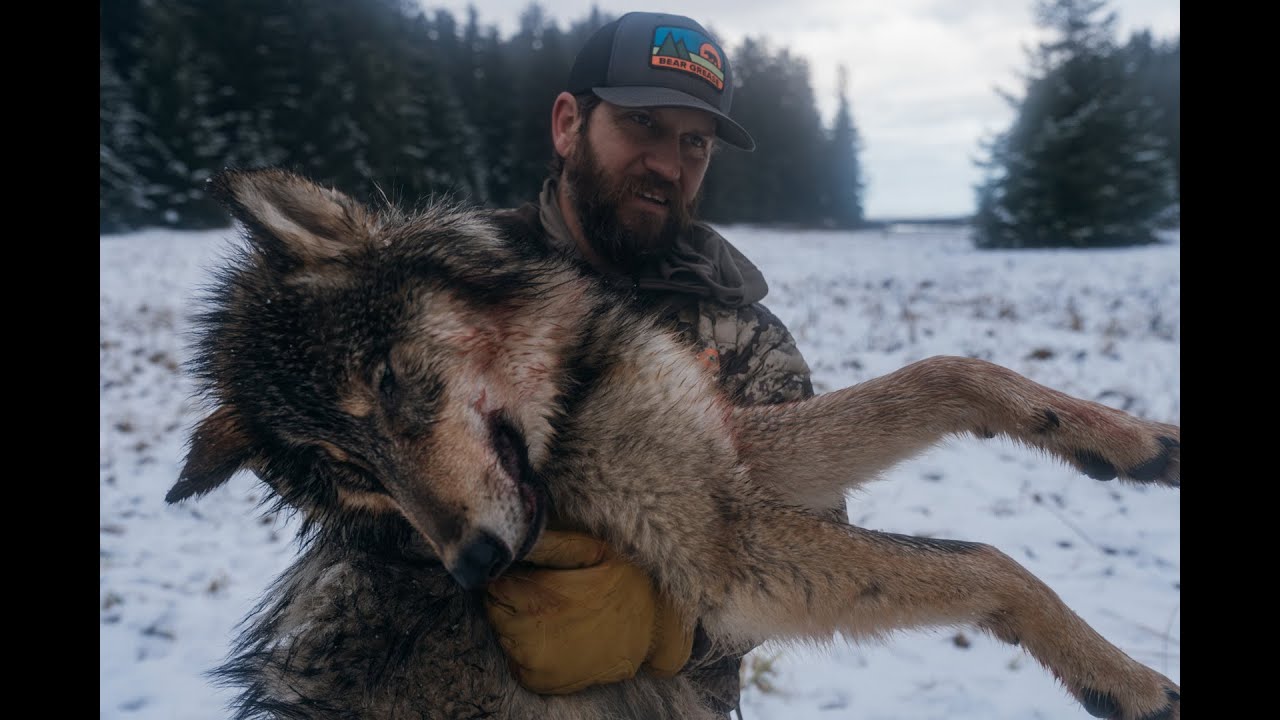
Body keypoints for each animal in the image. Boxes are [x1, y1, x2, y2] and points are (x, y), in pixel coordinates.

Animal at [168, 167, 1180, 720]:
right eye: (353, 474)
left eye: (383, 383)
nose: (476, 567)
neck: (573, 401)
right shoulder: (725, 549)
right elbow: (988, 563)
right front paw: (1127, 682)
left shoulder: (718, 456)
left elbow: (945, 374)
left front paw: (1126, 442)